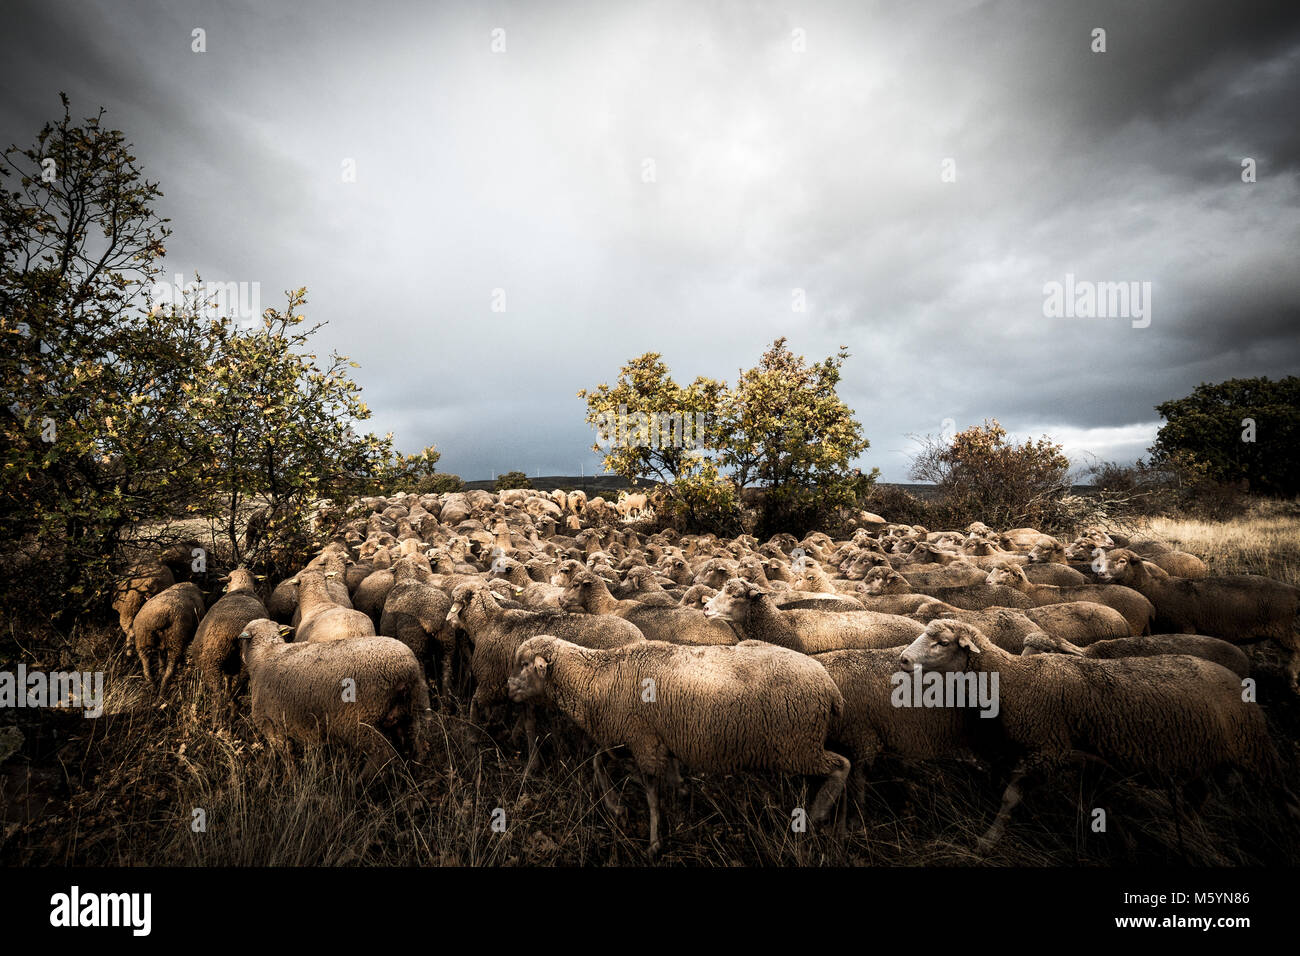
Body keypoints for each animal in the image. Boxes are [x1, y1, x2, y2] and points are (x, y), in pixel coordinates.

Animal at [191, 568, 269, 715]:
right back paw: (232, 710)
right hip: (238, 662)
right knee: (234, 690)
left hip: (213, 662)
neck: (242, 588)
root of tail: (231, 632)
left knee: (219, 696)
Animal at [237, 619, 432, 779]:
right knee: (418, 745)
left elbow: (286, 757)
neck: (265, 654)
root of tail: (405, 670)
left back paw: (359, 785)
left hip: (358, 720)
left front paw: (288, 779)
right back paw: (417, 774)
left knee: (382, 753)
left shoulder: (270, 725)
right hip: (412, 710)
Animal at [507, 635, 850, 856]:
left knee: (841, 766)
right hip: (799, 745)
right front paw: (619, 806)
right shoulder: (638, 737)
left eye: (523, 664)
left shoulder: (643, 742)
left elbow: (651, 796)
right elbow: (598, 763)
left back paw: (818, 812)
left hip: (798, 746)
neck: (595, 679)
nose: (508, 689)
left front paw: (654, 843)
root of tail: (831, 688)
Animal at [899, 618, 1291, 849]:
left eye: (942, 642)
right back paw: (1185, 831)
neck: (1017, 680)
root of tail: (1238, 679)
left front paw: (988, 840)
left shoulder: (1047, 749)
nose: (903, 660)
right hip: (1204, 756)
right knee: (1200, 794)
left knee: (1276, 791)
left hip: (1254, 749)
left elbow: (1010, 798)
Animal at [1097, 548, 1300, 688]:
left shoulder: (1185, 627)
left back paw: (1293, 683)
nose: (1100, 573)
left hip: (1286, 630)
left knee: (1294, 653)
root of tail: (1293, 591)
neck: (1153, 588)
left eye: (1122, 561)